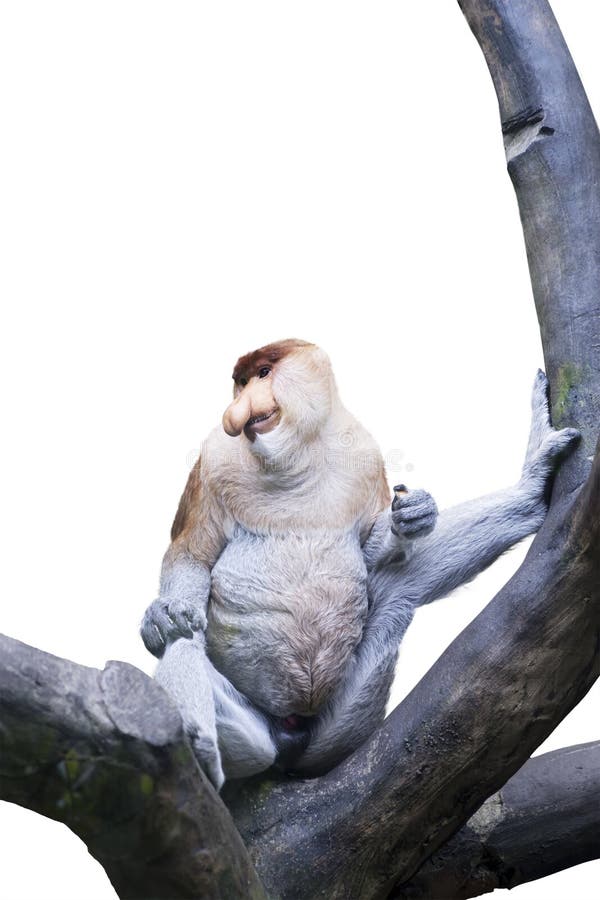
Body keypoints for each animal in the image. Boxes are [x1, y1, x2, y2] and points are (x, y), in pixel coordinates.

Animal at [141, 339, 579, 789]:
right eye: (241, 382)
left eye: (262, 374)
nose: (237, 410)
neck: (292, 462)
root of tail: (291, 733)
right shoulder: (212, 461)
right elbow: (189, 558)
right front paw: (160, 617)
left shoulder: (365, 457)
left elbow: (373, 551)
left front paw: (415, 514)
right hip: (261, 733)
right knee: (186, 636)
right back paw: (199, 743)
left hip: (341, 721)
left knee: (403, 586)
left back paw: (529, 493)